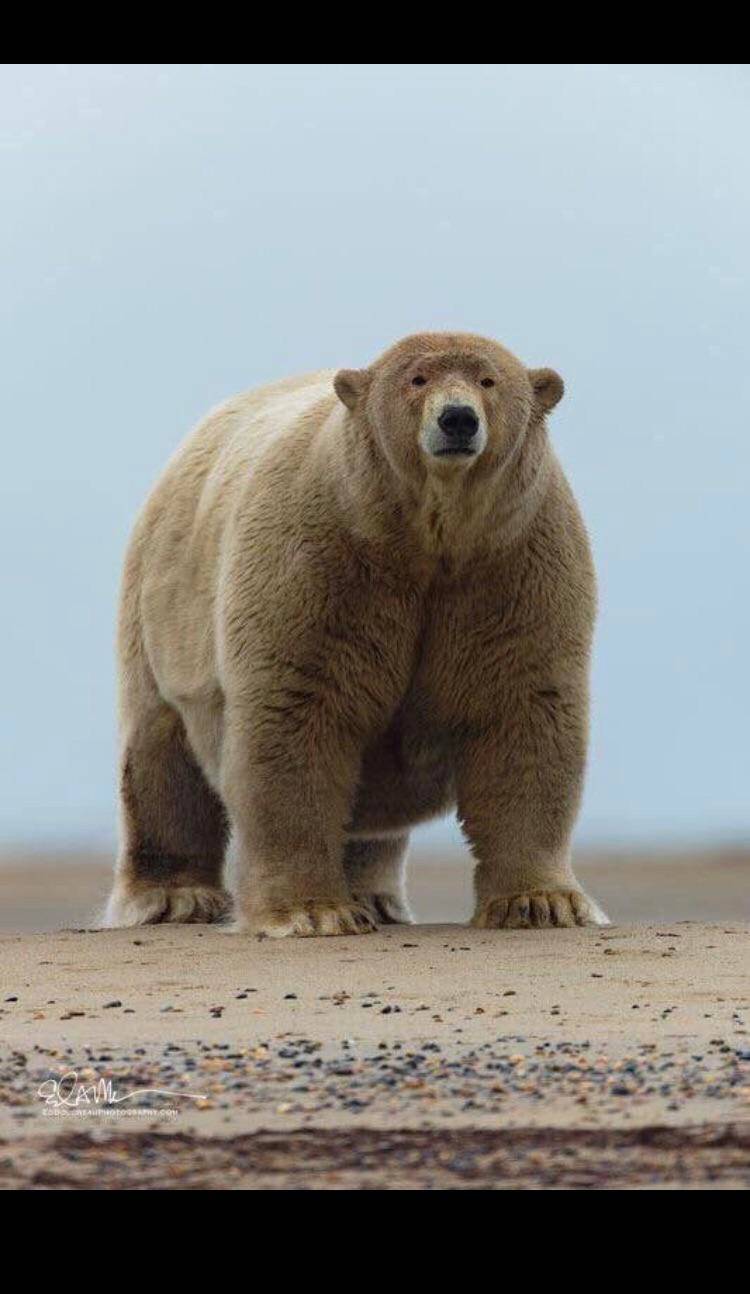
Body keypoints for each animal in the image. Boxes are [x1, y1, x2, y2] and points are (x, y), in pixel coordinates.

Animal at [104, 331, 608, 937]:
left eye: (489, 380)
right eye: (416, 379)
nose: (458, 419)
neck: (426, 539)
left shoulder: (513, 563)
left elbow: (523, 711)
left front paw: (543, 903)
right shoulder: (320, 559)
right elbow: (298, 712)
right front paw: (311, 911)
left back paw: (376, 896)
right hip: (162, 610)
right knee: (160, 754)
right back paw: (175, 898)